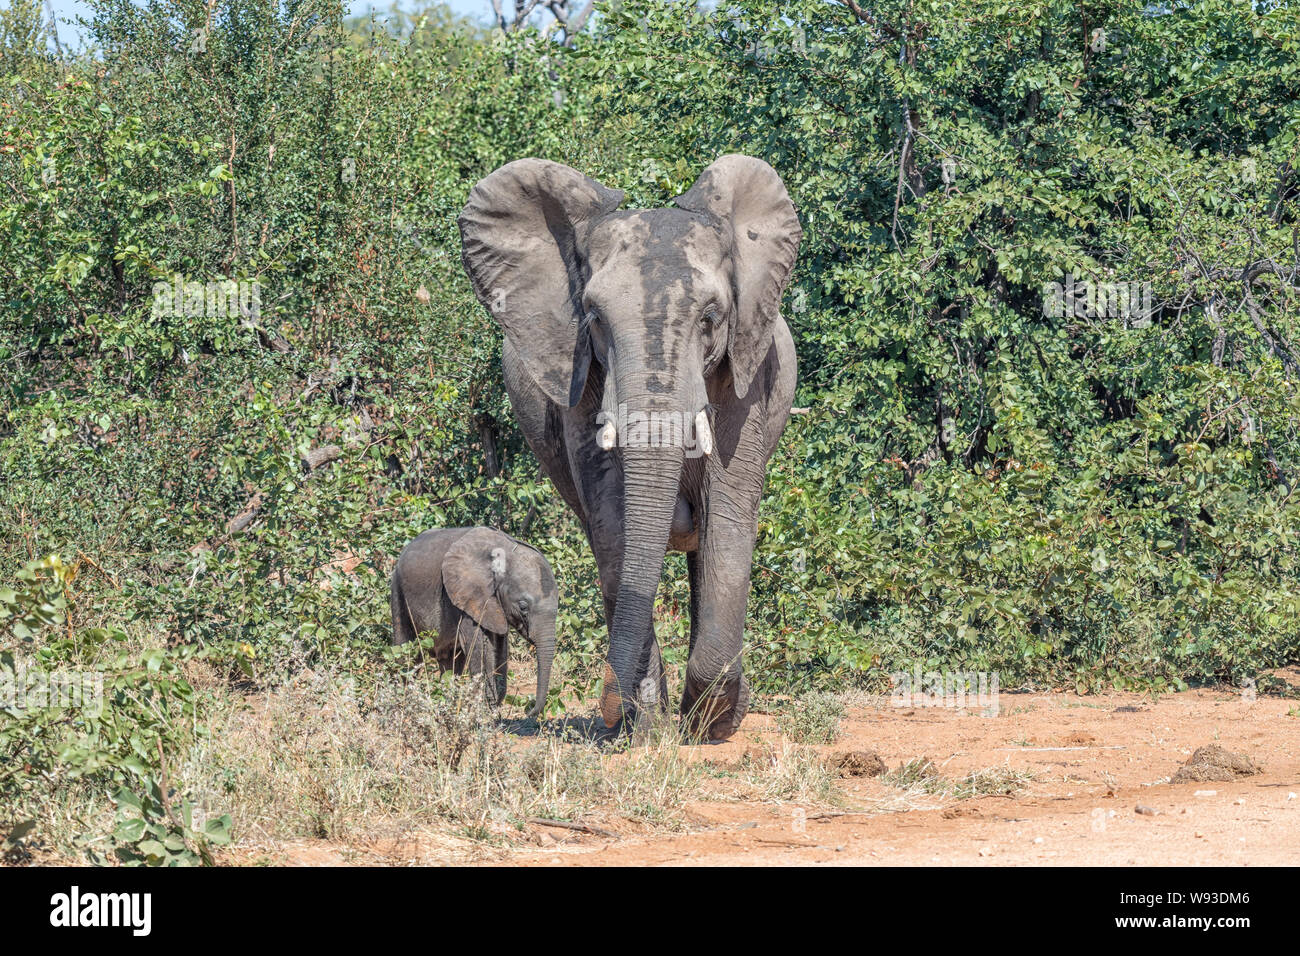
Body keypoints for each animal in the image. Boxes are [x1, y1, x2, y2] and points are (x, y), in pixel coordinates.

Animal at [390, 527, 558, 718]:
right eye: (523, 607)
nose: (528, 711)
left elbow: (499, 646)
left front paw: (492, 711)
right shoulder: (466, 594)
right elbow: (478, 644)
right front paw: (485, 715)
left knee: (449, 660)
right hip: (398, 590)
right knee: (407, 652)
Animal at [458, 154, 800, 741]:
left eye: (711, 318)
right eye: (594, 319)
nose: (609, 705)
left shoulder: (746, 381)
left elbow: (728, 520)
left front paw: (710, 726)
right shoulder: (579, 378)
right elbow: (613, 521)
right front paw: (647, 723)